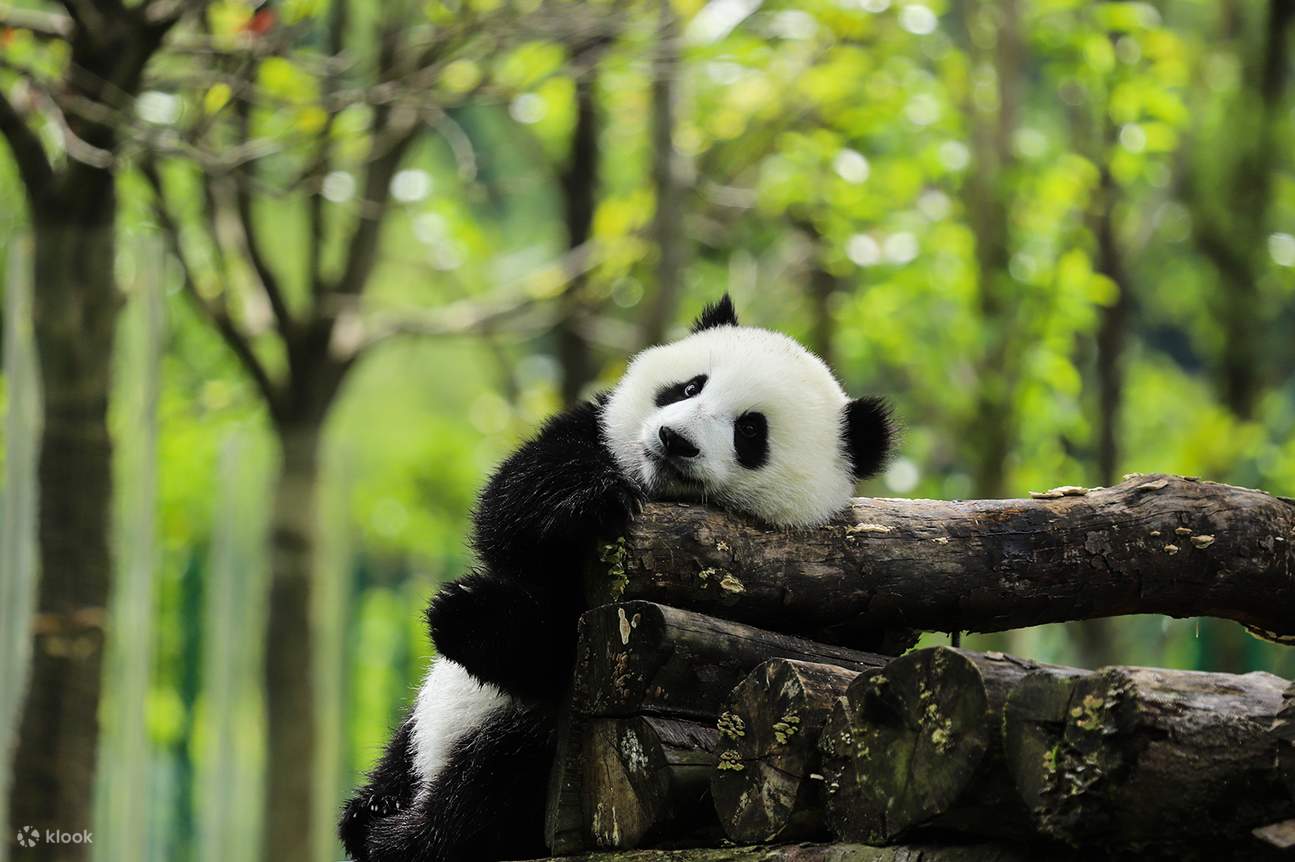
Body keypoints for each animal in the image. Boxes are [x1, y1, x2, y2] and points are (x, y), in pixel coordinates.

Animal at [339, 295, 894, 861]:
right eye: (690, 387)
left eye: (750, 430)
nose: (675, 440)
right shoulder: (595, 434)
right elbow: (513, 504)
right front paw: (587, 501)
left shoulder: (811, 602)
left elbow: (559, 649)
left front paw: (482, 620)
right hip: (417, 731)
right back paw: (369, 813)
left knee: (496, 777)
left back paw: (406, 835)